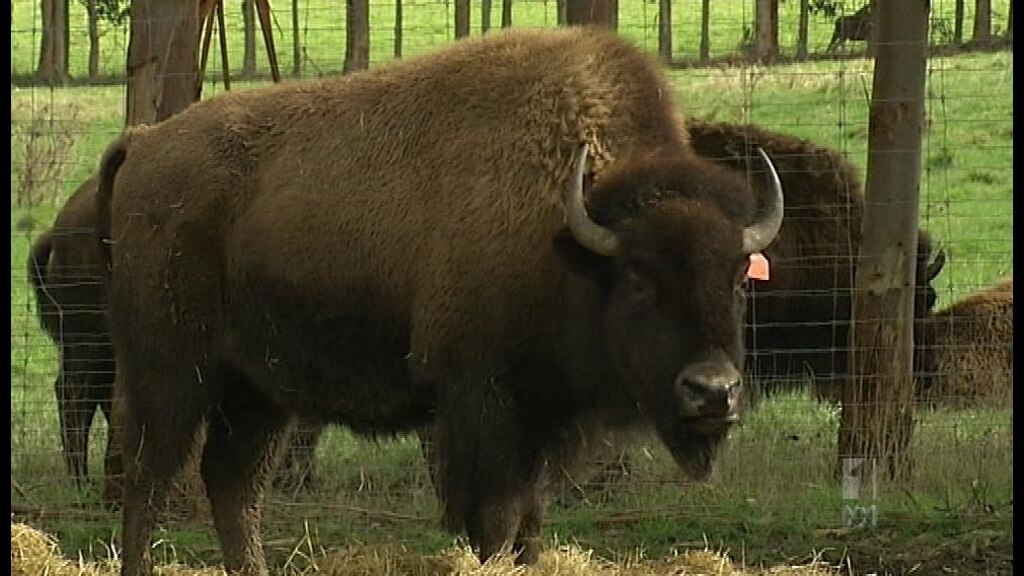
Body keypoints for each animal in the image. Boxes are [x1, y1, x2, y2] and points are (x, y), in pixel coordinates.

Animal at [96, 28, 783, 575]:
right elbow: (497, 518)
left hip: (257, 390)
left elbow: (530, 522)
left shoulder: (541, 422)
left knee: (233, 485)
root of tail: (145, 141)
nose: (713, 392)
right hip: (172, 374)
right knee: (149, 478)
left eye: (737, 278)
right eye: (640, 276)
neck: (568, 231)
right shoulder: (483, 407)